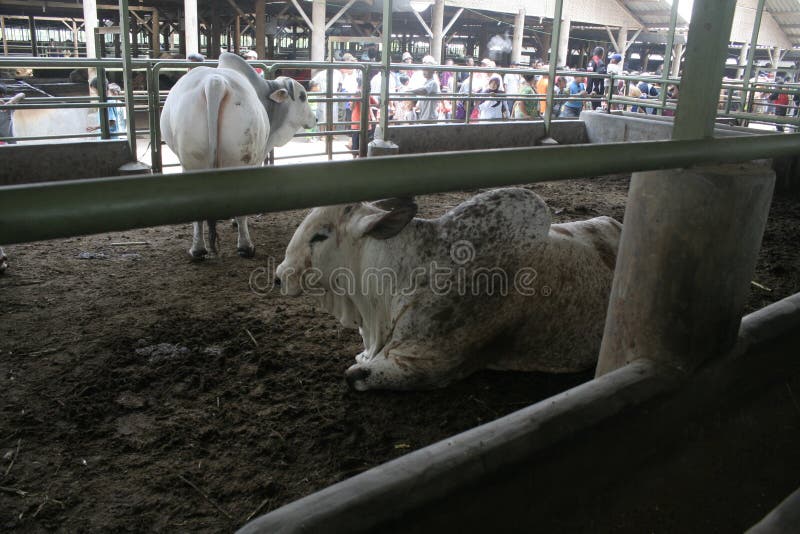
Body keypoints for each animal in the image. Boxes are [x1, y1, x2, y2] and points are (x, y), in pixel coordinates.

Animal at [160, 52, 316, 259]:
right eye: (302, 96)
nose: (315, 118)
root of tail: (215, 82)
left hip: (190, 163)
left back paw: (198, 249)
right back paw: (245, 246)